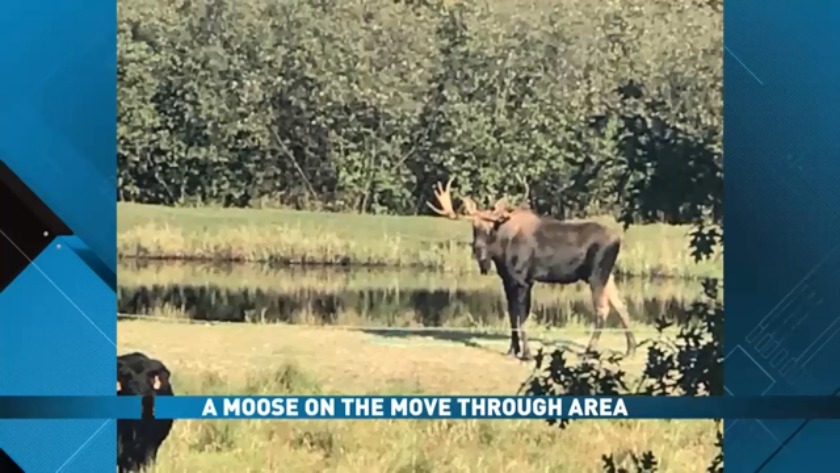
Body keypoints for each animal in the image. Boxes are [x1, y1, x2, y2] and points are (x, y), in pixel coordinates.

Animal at [425, 177, 637, 360]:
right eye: (474, 227)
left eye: (490, 228)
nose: (479, 252)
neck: (501, 249)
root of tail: (619, 240)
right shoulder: (508, 281)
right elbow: (512, 315)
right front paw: (513, 350)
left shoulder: (523, 281)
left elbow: (522, 317)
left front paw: (526, 353)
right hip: (607, 275)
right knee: (621, 305)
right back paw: (631, 349)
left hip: (597, 275)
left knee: (603, 309)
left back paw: (589, 351)